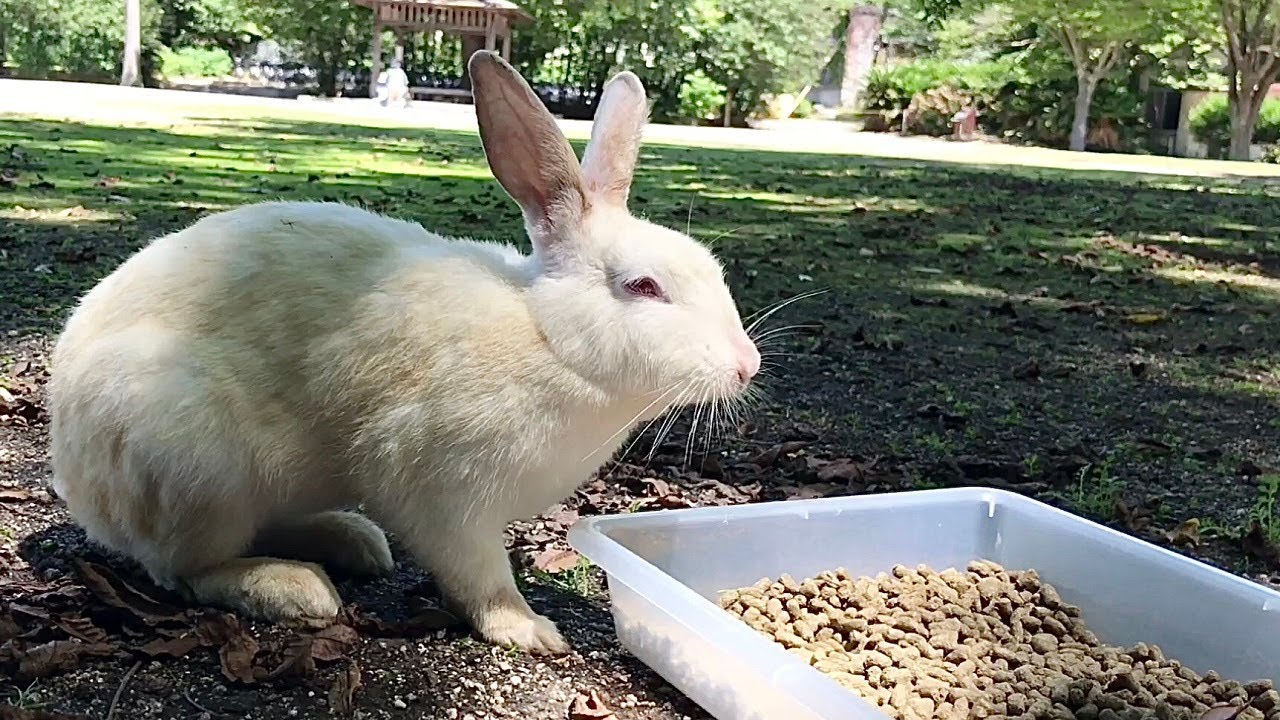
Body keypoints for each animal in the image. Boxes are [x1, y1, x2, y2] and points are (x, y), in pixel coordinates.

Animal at [47, 50, 761, 655]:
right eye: (643, 287)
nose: (746, 365)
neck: (549, 338)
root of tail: (75, 476)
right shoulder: (446, 498)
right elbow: (480, 576)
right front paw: (529, 630)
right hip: (197, 471)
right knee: (185, 569)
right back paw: (297, 589)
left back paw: (355, 541)